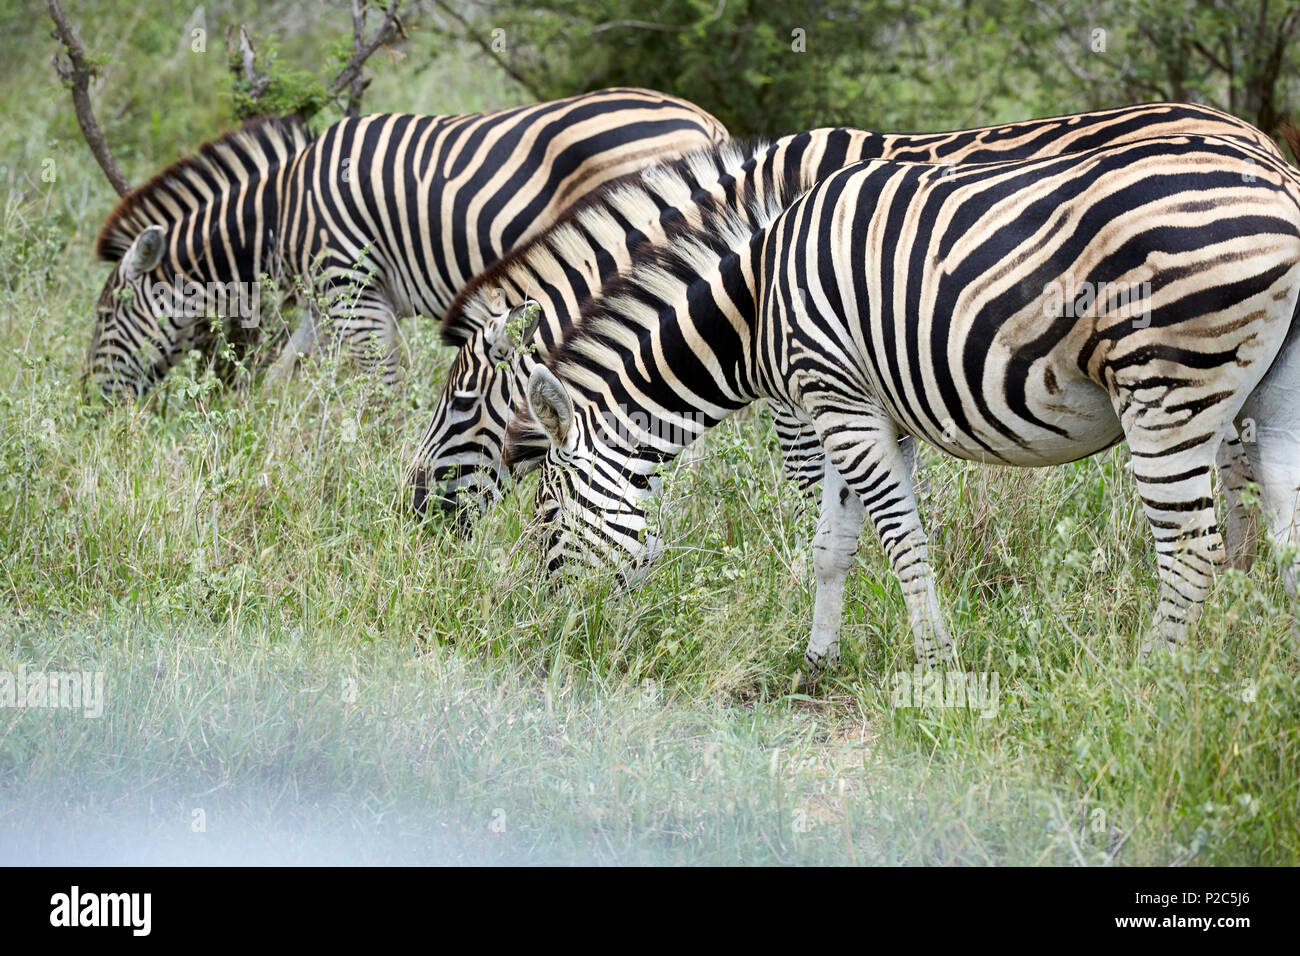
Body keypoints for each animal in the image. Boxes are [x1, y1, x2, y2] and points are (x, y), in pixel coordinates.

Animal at [85, 88, 727, 403]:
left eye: (106, 318)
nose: (92, 408)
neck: (280, 212)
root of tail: (704, 122)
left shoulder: (352, 289)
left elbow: (380, 391)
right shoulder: (328, 301)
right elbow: (282, 376)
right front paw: (256, 433)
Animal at [512, 132, 1300, 673]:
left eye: (546, 517)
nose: (560, 636)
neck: (755, 305)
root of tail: (1281, 182)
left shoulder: (838, 401)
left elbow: (902, 540)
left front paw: (936, 666)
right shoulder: (859, 408)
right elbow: (833, 545)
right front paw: (817, 664)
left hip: (1166, 390)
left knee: (1191, 549)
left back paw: (1149, 678)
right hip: (1274, 398)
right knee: (1283, 536)